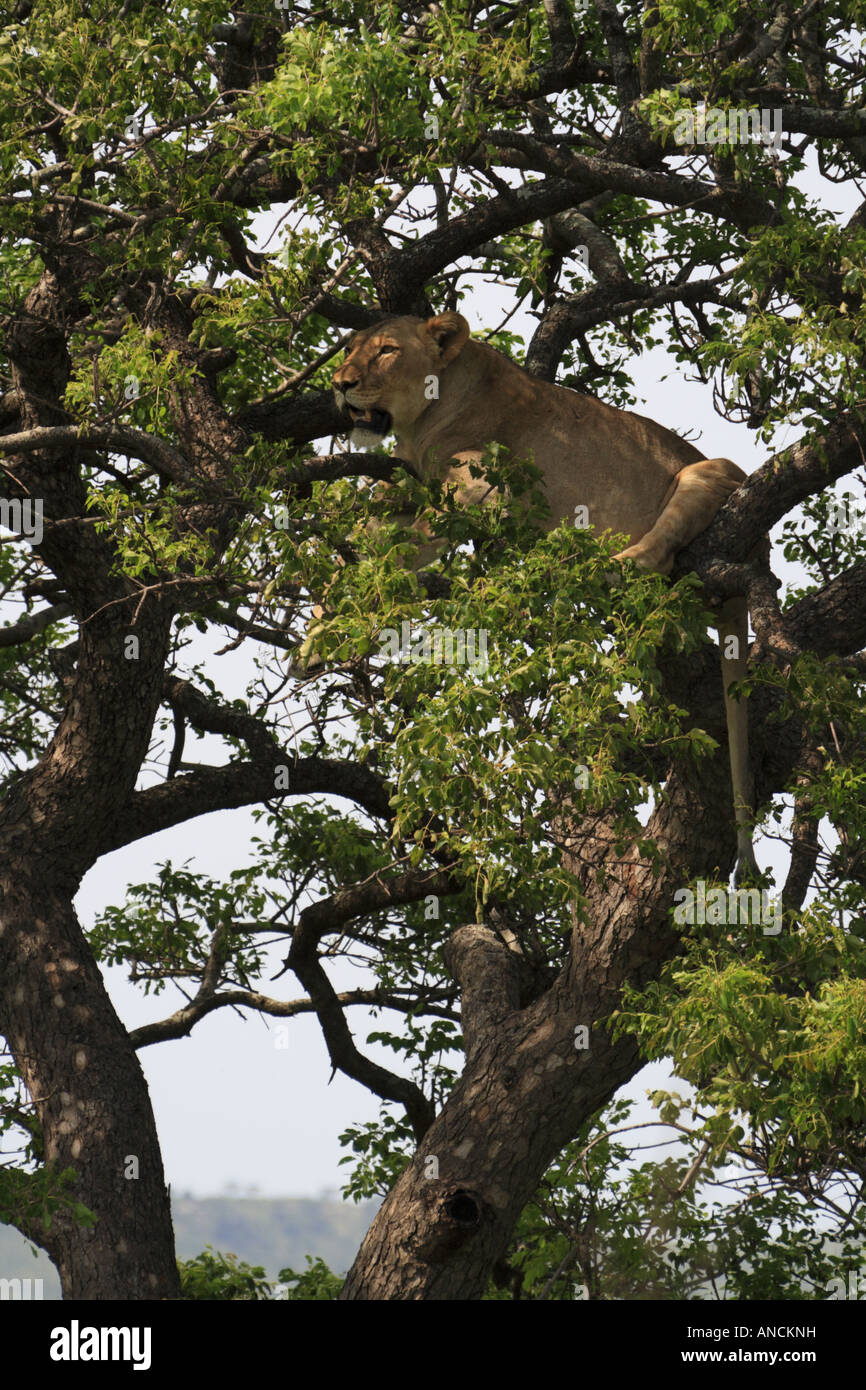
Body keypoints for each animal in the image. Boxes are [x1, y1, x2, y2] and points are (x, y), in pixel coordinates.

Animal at [331, 310, 757, 879]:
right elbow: (365, 540)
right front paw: (315, 631)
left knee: (661, 558)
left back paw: (608, 564)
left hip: (712, 470)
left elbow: (403, 551)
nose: (340, 384)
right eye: (350, 348)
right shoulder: (407, 485)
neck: (424, 419)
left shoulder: (482, 485)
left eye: (386, 351)